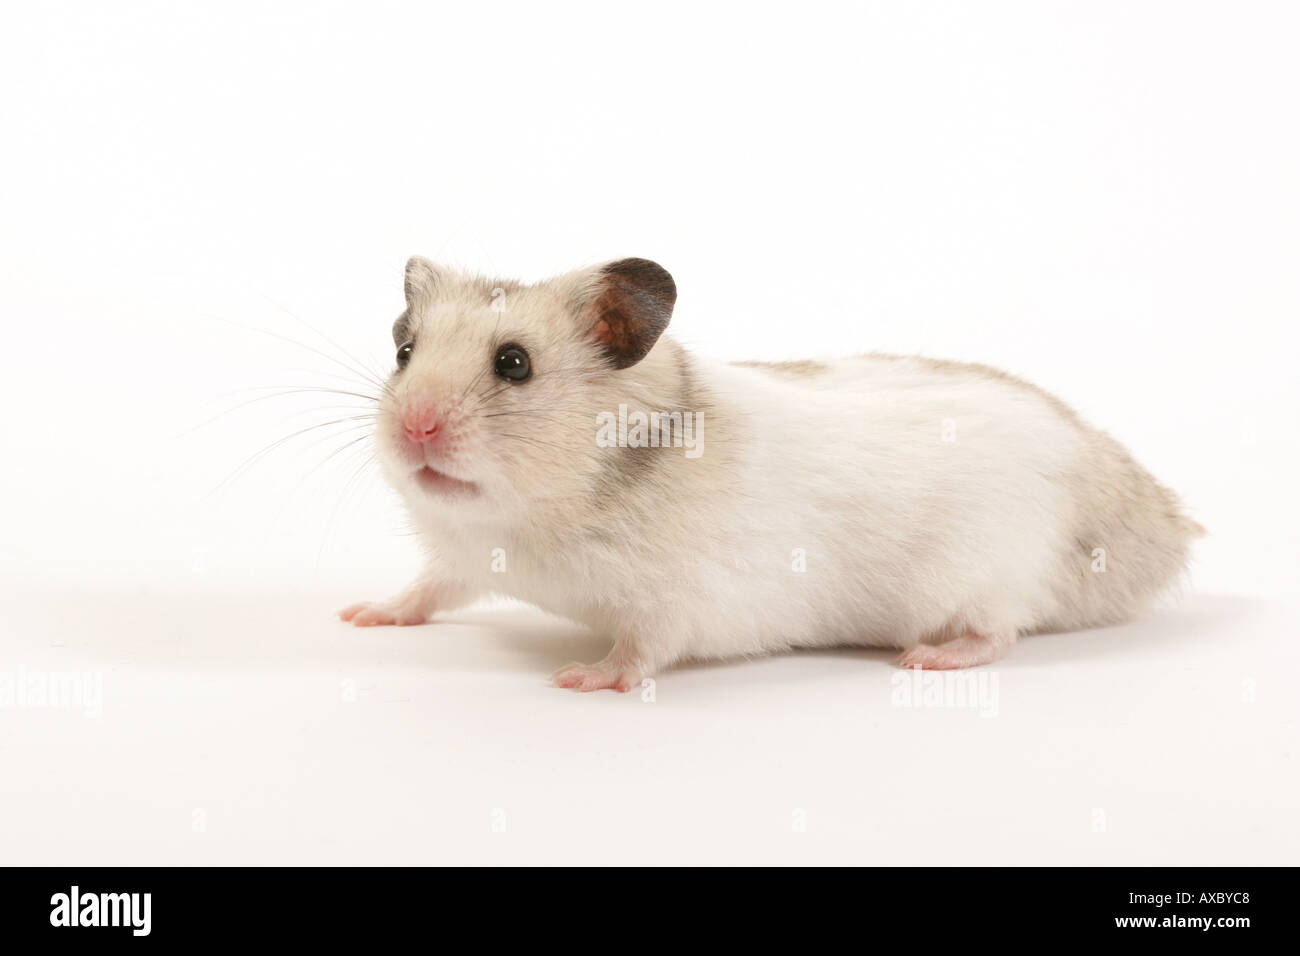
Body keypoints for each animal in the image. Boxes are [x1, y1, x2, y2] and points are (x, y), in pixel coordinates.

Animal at [339, 256, 1203, 691]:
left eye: (514, 364)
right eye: (404, 352)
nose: (414, 429)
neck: (530, 515)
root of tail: (1163, 520)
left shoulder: (675, 603)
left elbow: (640, 652)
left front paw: (580, 677)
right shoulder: (460, 558)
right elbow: (428, 589)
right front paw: (361, 615)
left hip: (987, 575)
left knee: (999, 633)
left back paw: (926, 659)